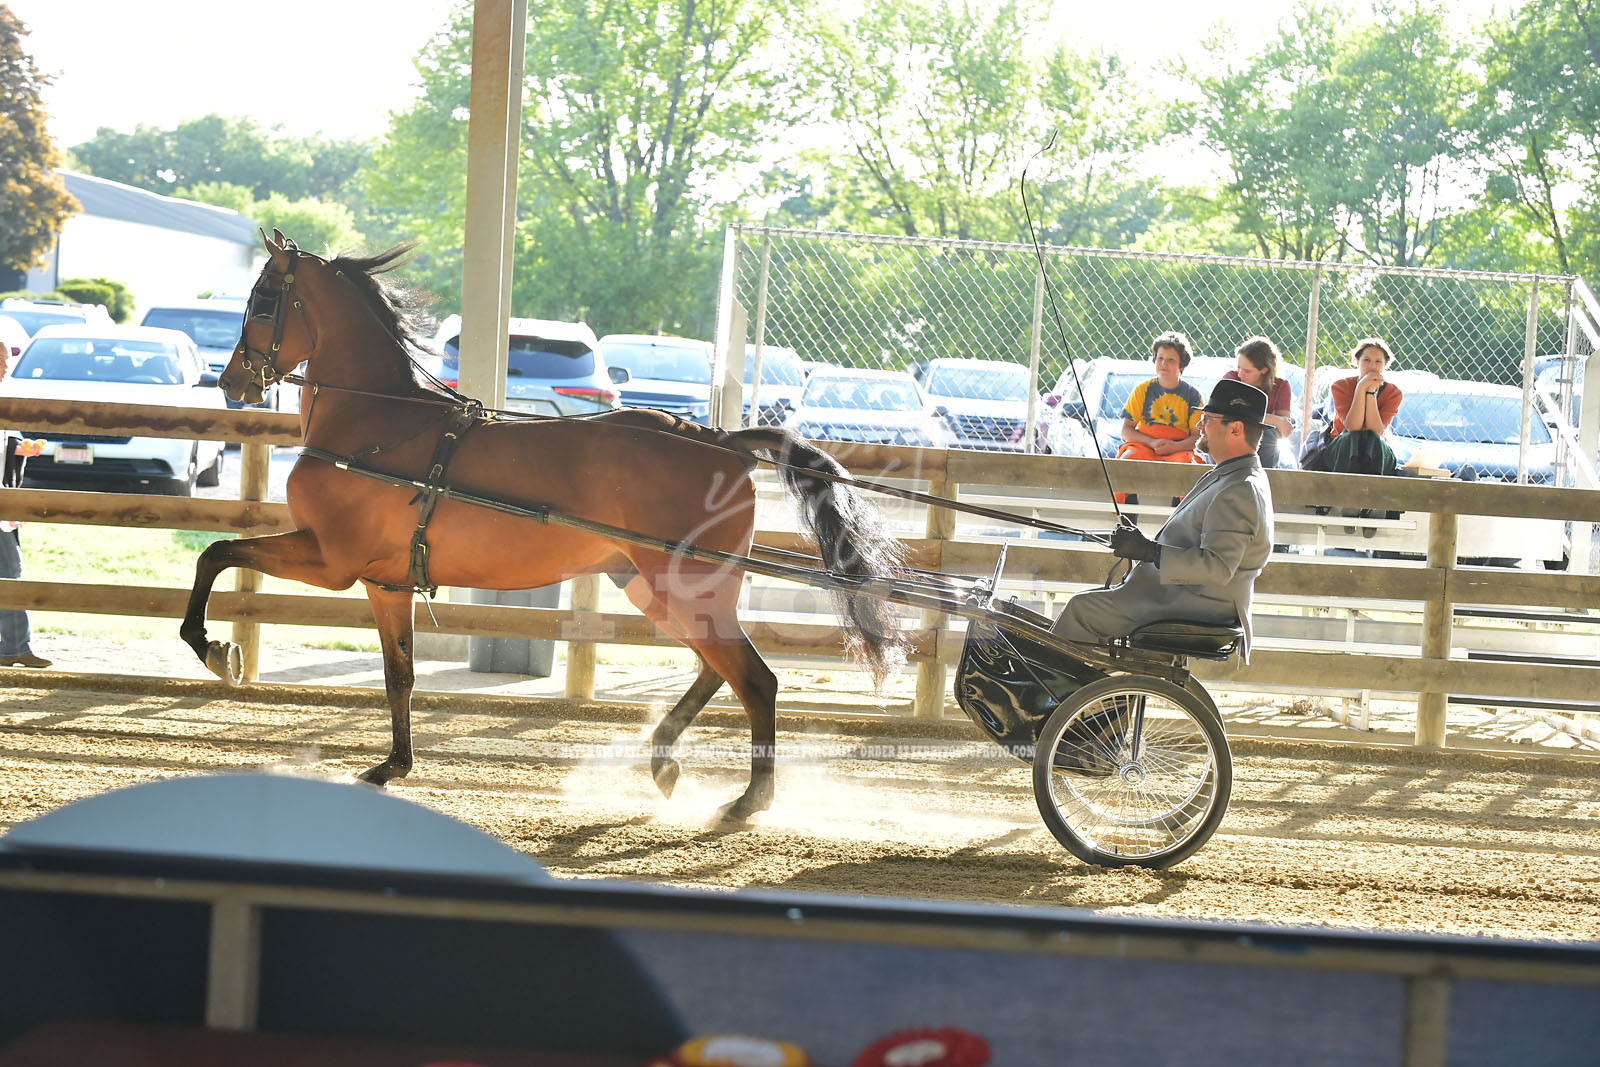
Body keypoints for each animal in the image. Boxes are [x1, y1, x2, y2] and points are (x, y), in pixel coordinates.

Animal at [181, 230, 906, 821]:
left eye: (264, 300)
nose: (232, 380)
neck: (376, 425)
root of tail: (722, 440)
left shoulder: (331, 562)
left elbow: (217, 551)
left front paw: (214, 648)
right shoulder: (386, 582)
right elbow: (399, 674)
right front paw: (393, 765)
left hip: (683, 585)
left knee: (754, 678)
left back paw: (746, 801)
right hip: (653, 586)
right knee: (718, 668)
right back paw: (665, 760)